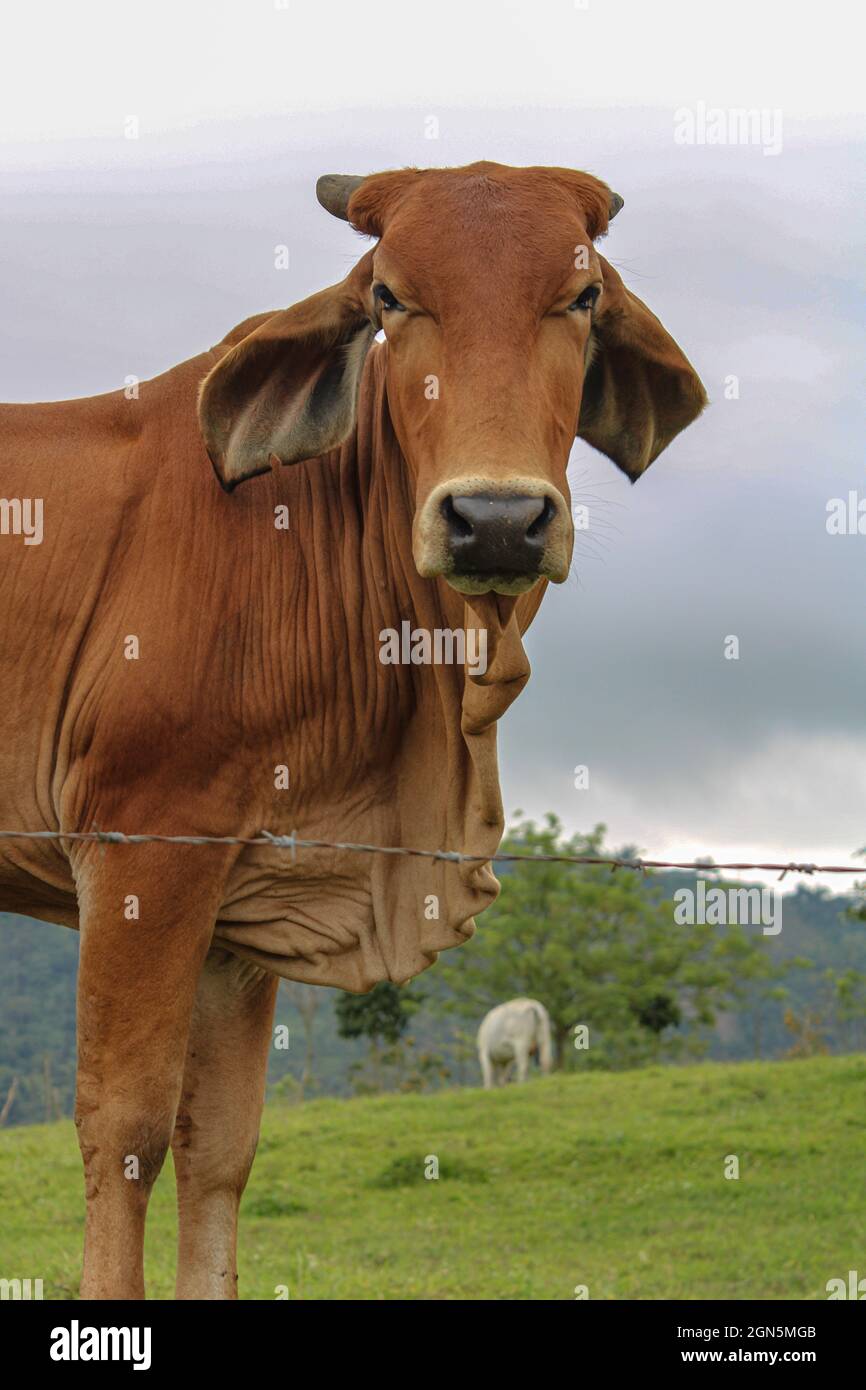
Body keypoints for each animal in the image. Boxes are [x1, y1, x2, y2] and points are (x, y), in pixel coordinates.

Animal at [0, 161, 706, 1299]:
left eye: (582, 296)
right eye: (387, 297)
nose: (497, 520)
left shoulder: (244, 897)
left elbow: (219, 1150)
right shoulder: (139, 843)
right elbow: (125, 1131)